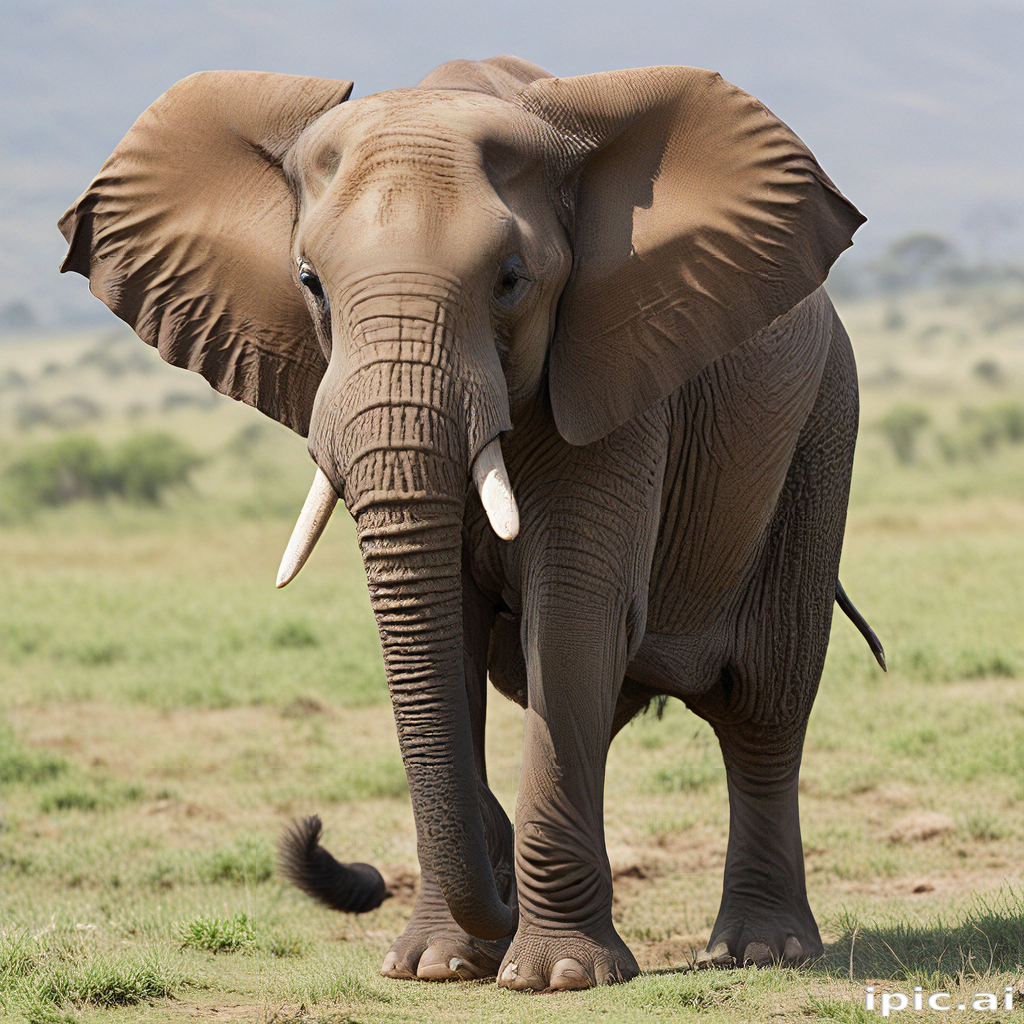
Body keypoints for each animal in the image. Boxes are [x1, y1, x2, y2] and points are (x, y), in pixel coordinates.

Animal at [59, 55, 885, 990]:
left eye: (510, 280)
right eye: (309, 282)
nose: (324, 844)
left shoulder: (614, 369)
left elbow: (574, 619)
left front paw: (557, 977)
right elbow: (447, 632)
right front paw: (437, 966)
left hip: (823, 430)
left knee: (764, 706)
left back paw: (760, 951)